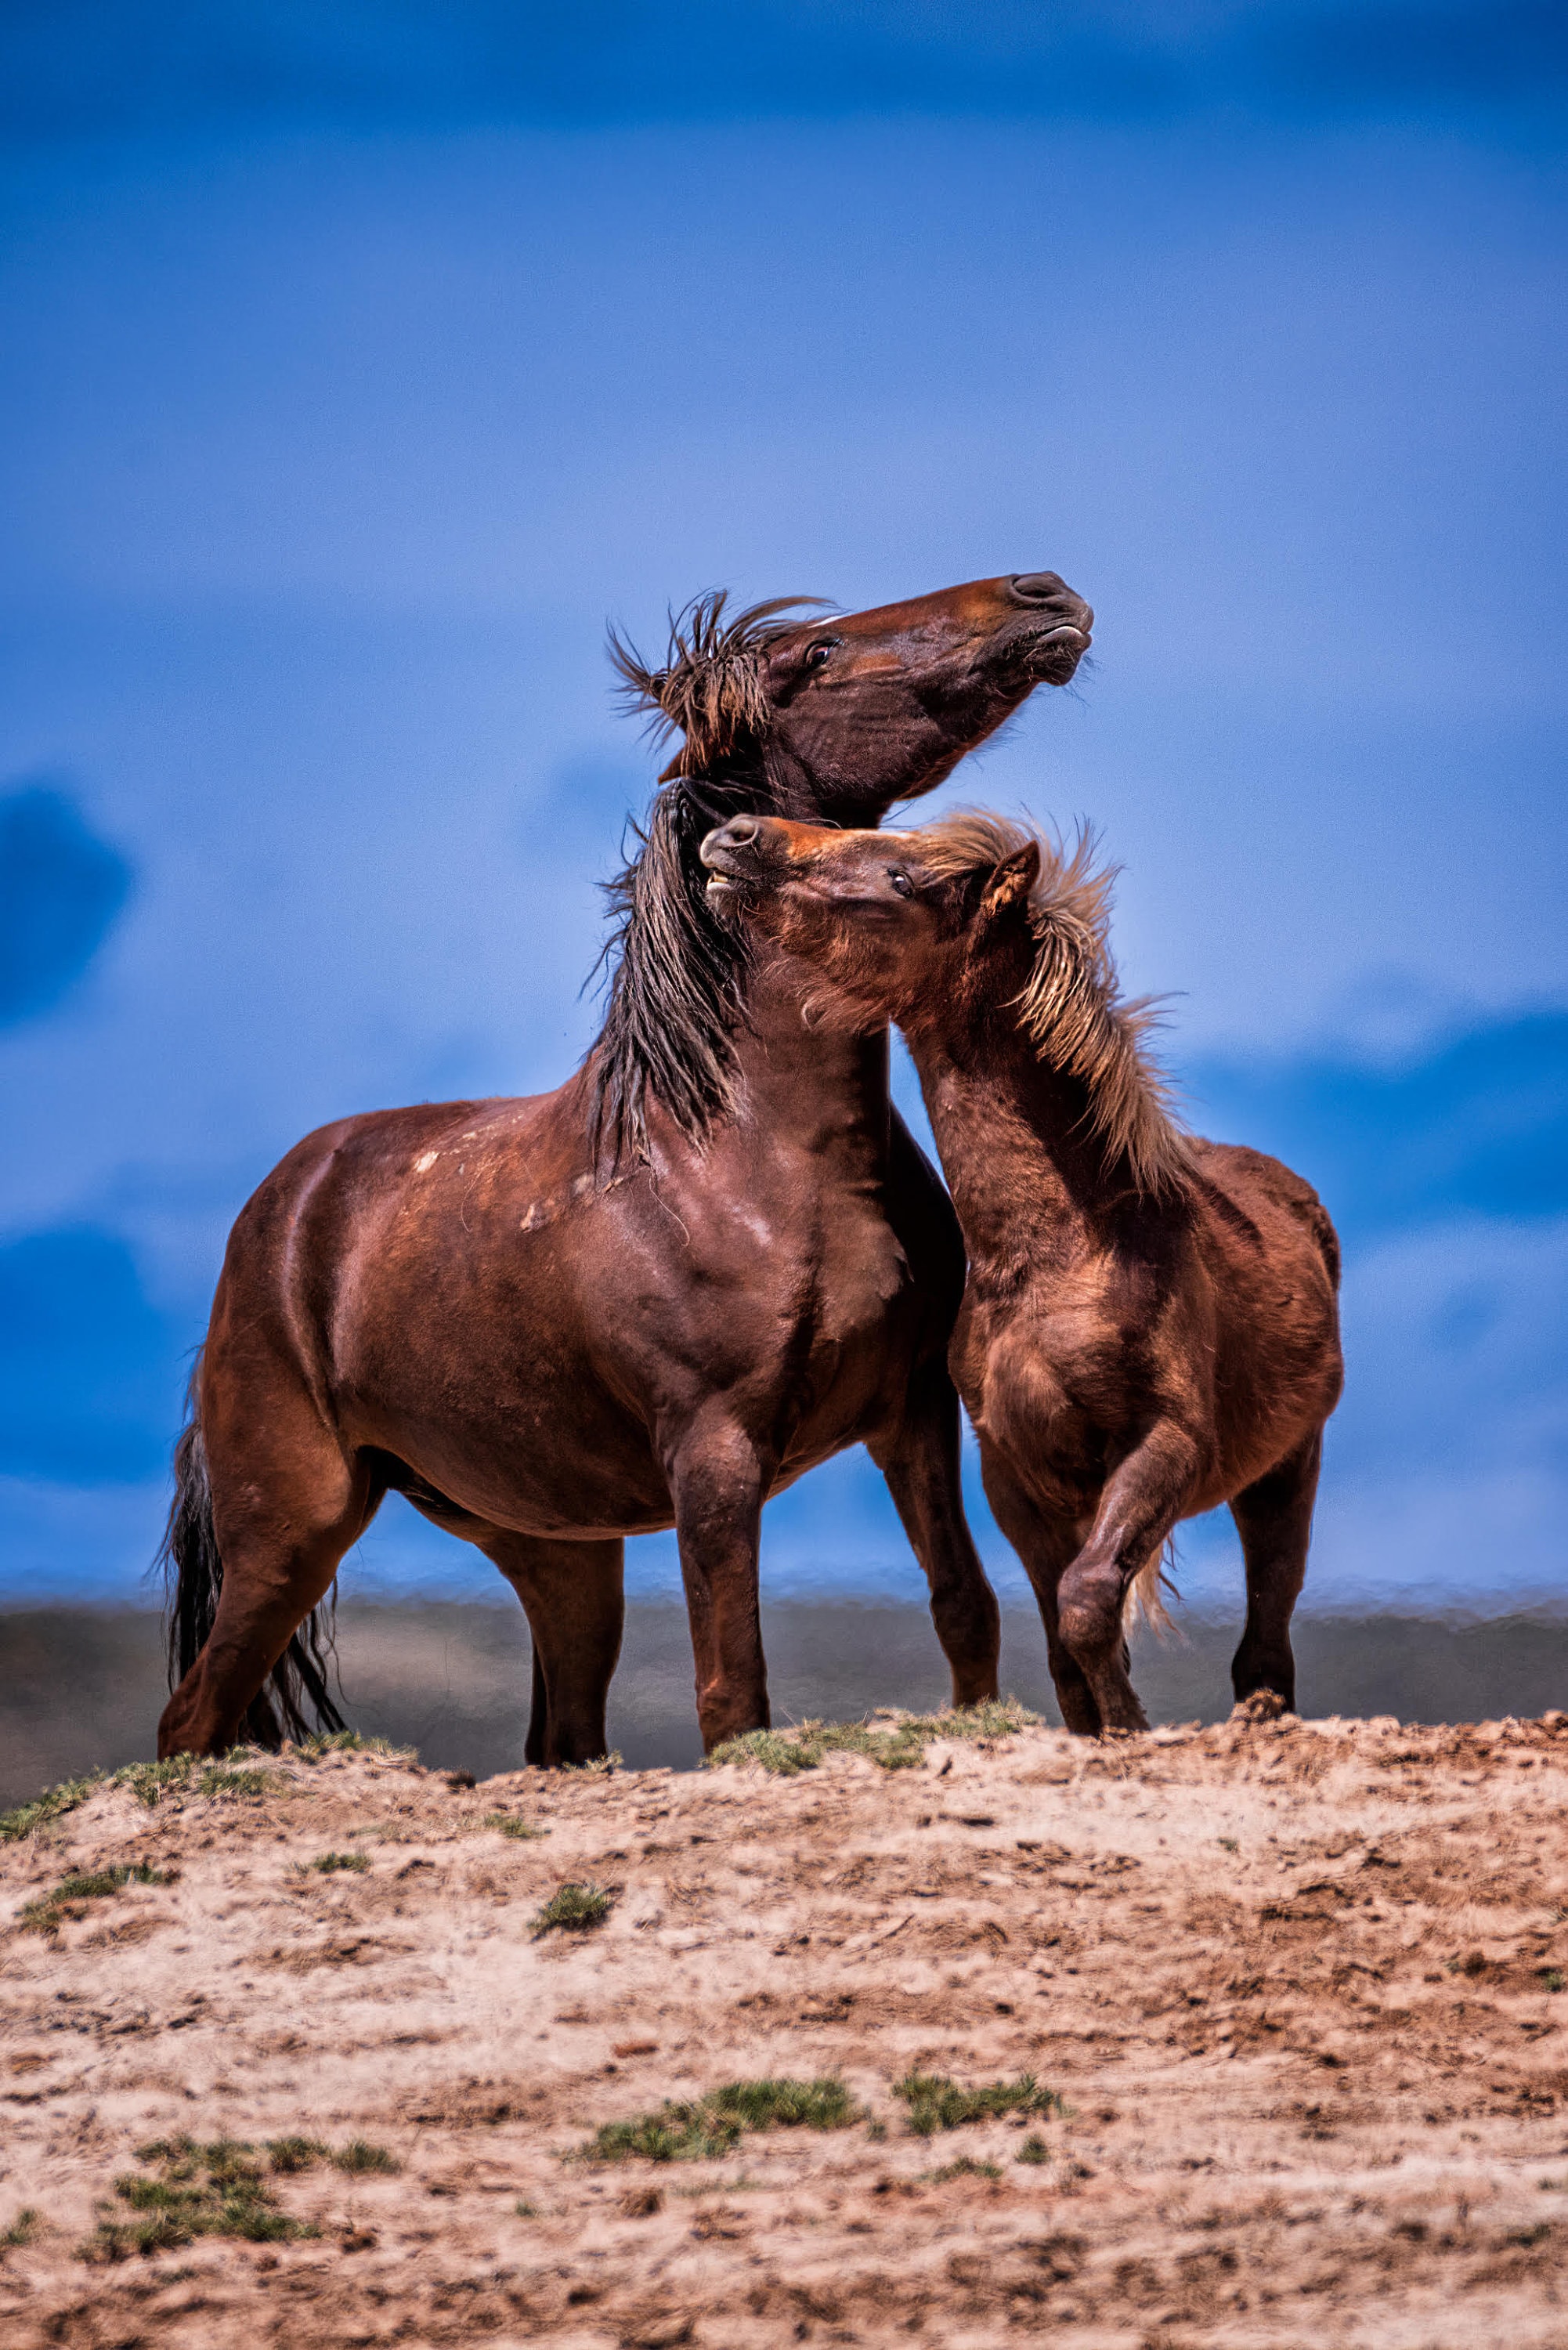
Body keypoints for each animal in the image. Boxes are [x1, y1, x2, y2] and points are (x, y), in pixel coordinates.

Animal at [158, 572, 1095, 1763]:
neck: (741, 1159)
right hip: (291, 1531)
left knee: (557, 1740)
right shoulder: (715, 1459)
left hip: (557, 1550)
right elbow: (732, 1693)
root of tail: (278, 1212)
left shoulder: (912, 1417)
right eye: (816, 655)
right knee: (191, 1717)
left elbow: (963, 1614)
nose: (1041, 592)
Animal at [698, 807, 1344, 1734]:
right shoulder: (1012, 1473)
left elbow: (1087, 1601)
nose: (736, 836)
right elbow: (1066, 1647)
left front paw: (1132, 1729)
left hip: (1286, 1468)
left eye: (902, 878)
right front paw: (1103, 1727)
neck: (1063, 1261)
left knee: (1267, 1636)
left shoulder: (1168, 1443)